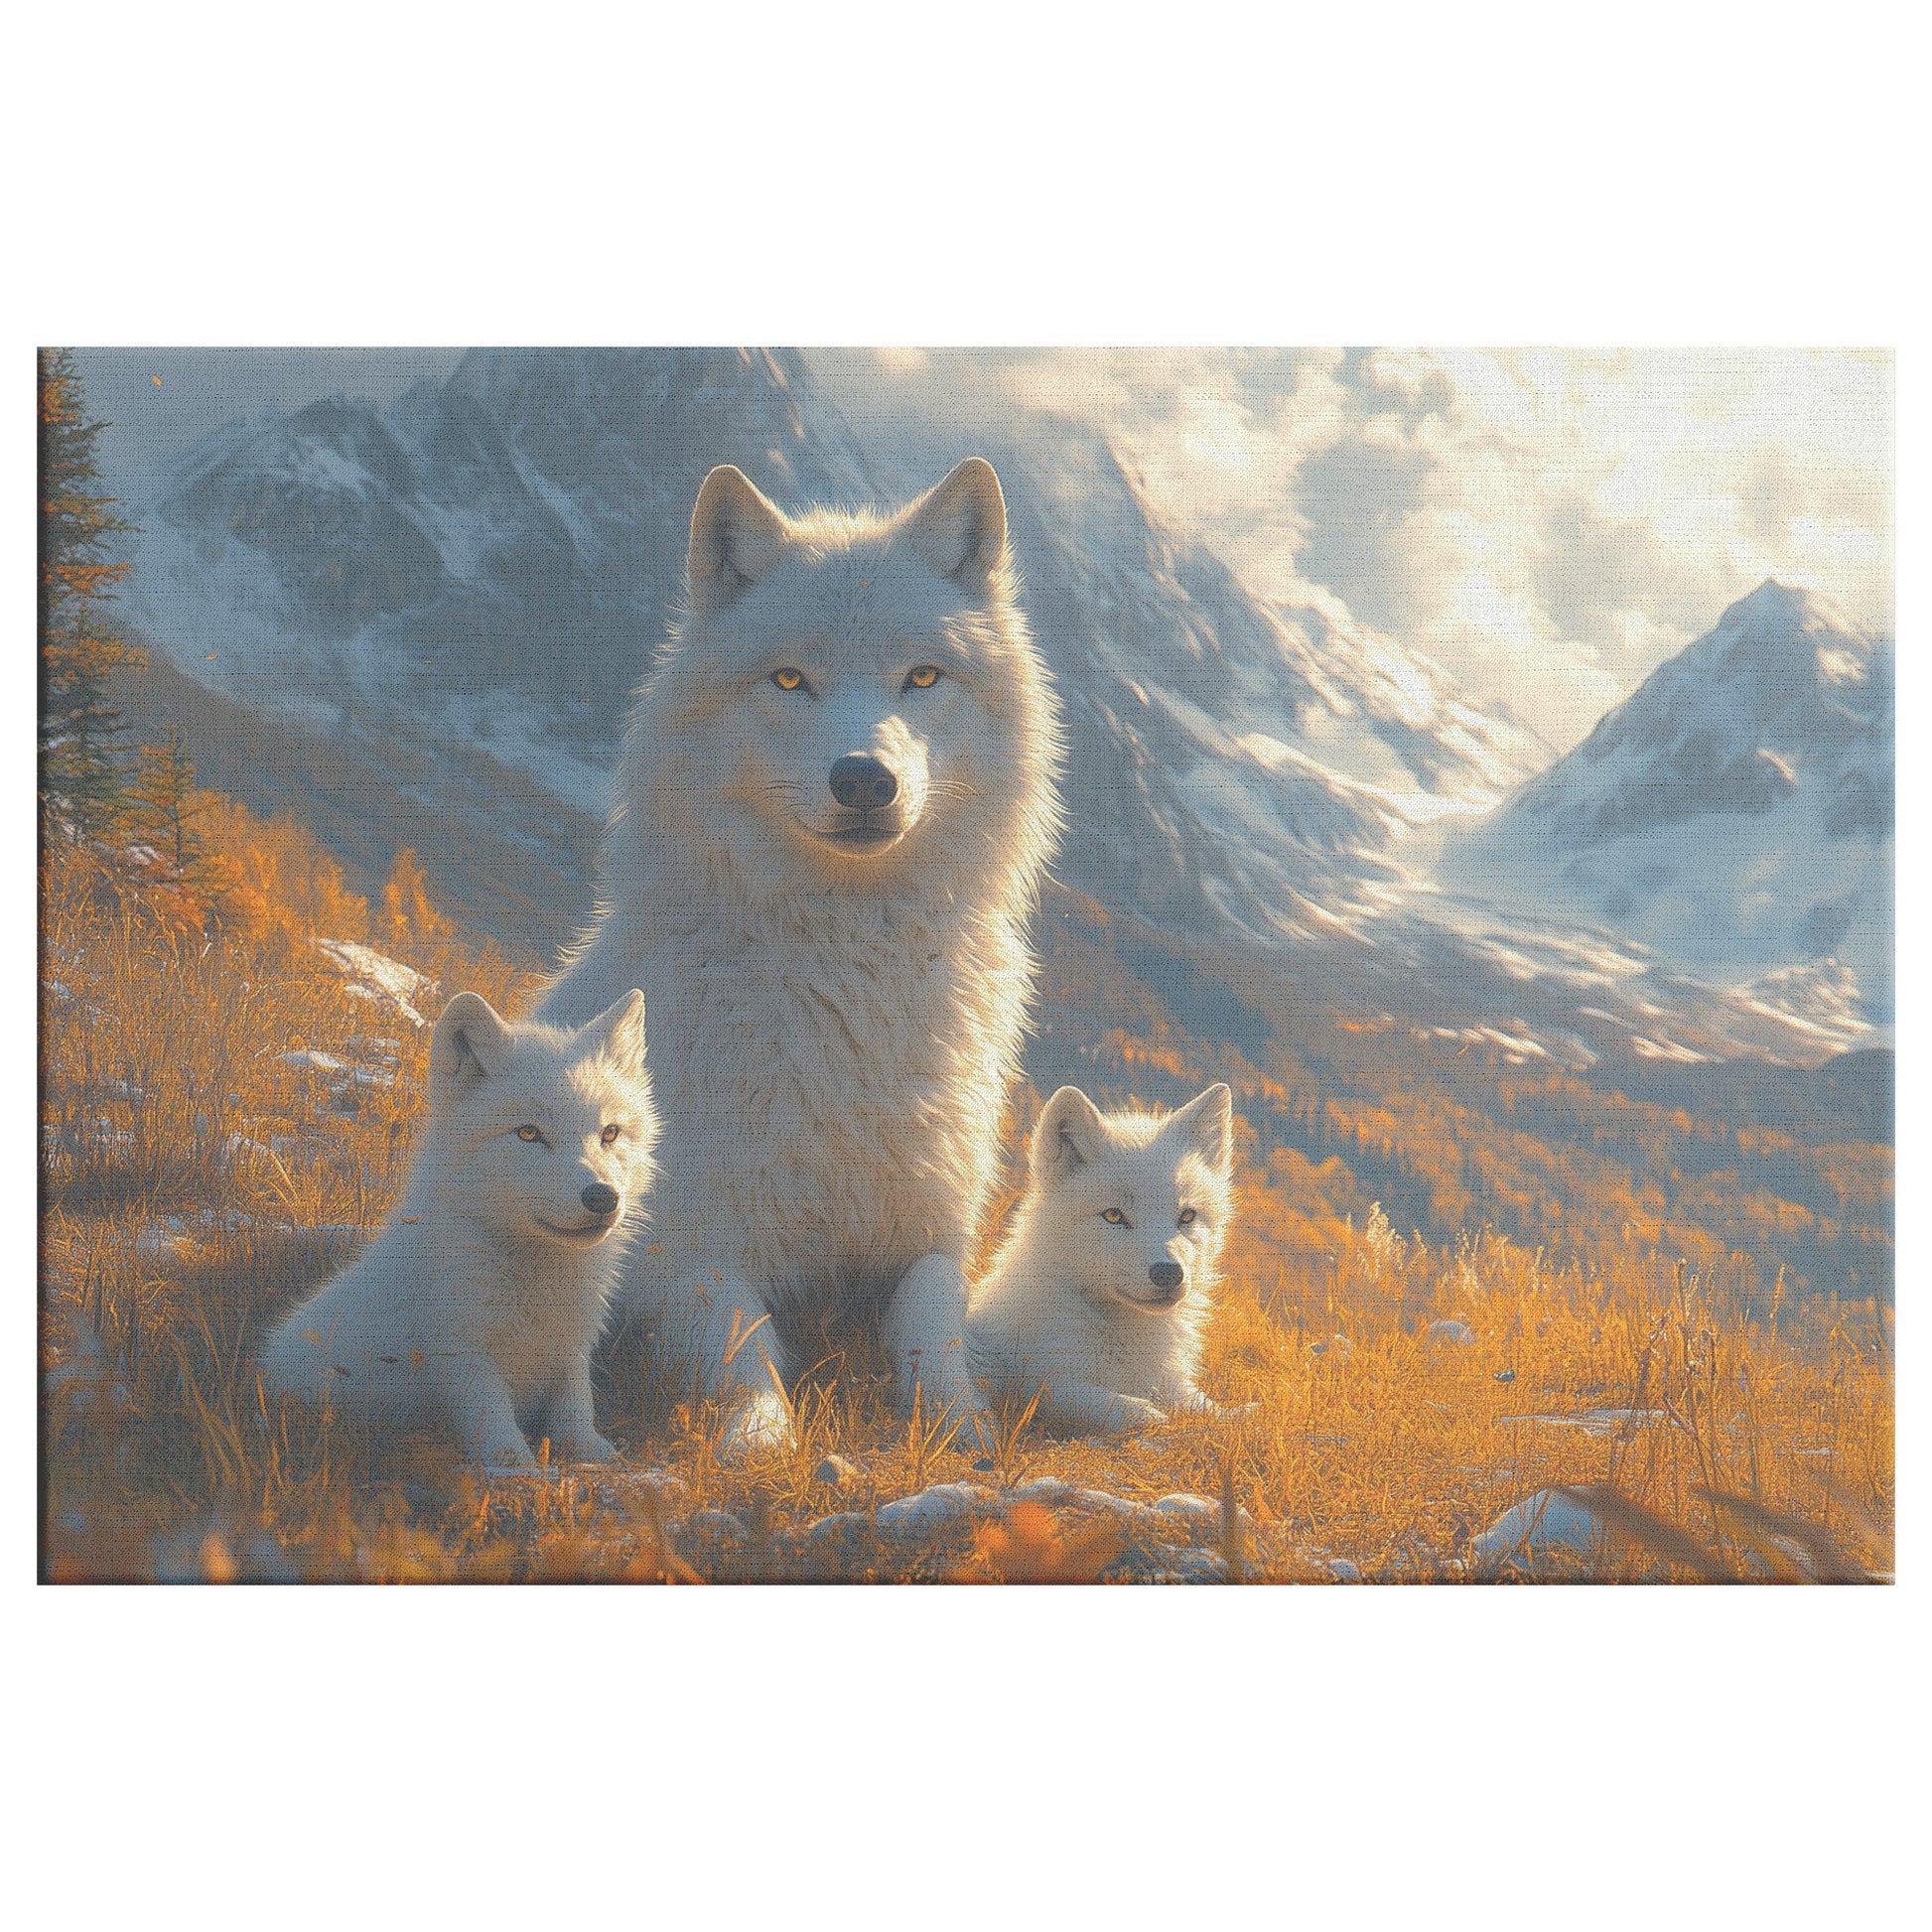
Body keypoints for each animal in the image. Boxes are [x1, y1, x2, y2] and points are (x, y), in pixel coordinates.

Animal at [259, 989, 657, 1467]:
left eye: (610, 1133)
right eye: (528, 1134)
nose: (602, 1198)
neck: (535, 1278)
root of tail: (263, 1367)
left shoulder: (570, 1347)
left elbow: (576, 1412)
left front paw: (595, 1455)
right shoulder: (463, 1352)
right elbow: (496, 1427)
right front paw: (518, 1471)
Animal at [535, 457, 1062, 1447]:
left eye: (922, 676)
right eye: (788, 680)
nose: (864, 780)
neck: (845, 974)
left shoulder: (930, 1228)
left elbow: (934, 1329)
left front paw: (967, 1433)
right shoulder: (686, 1246)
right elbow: (746, 1347)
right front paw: (763, 1442)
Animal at [966, 1083, 1235, 1435]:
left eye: (1187, 1216)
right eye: (1113, 1215)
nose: (1168, 1273)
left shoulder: (1173, 1384)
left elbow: (1211, 1407)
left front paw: (1244, 1416)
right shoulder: (1036, 1379)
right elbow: (1122, 1407)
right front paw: (1157, 1421)